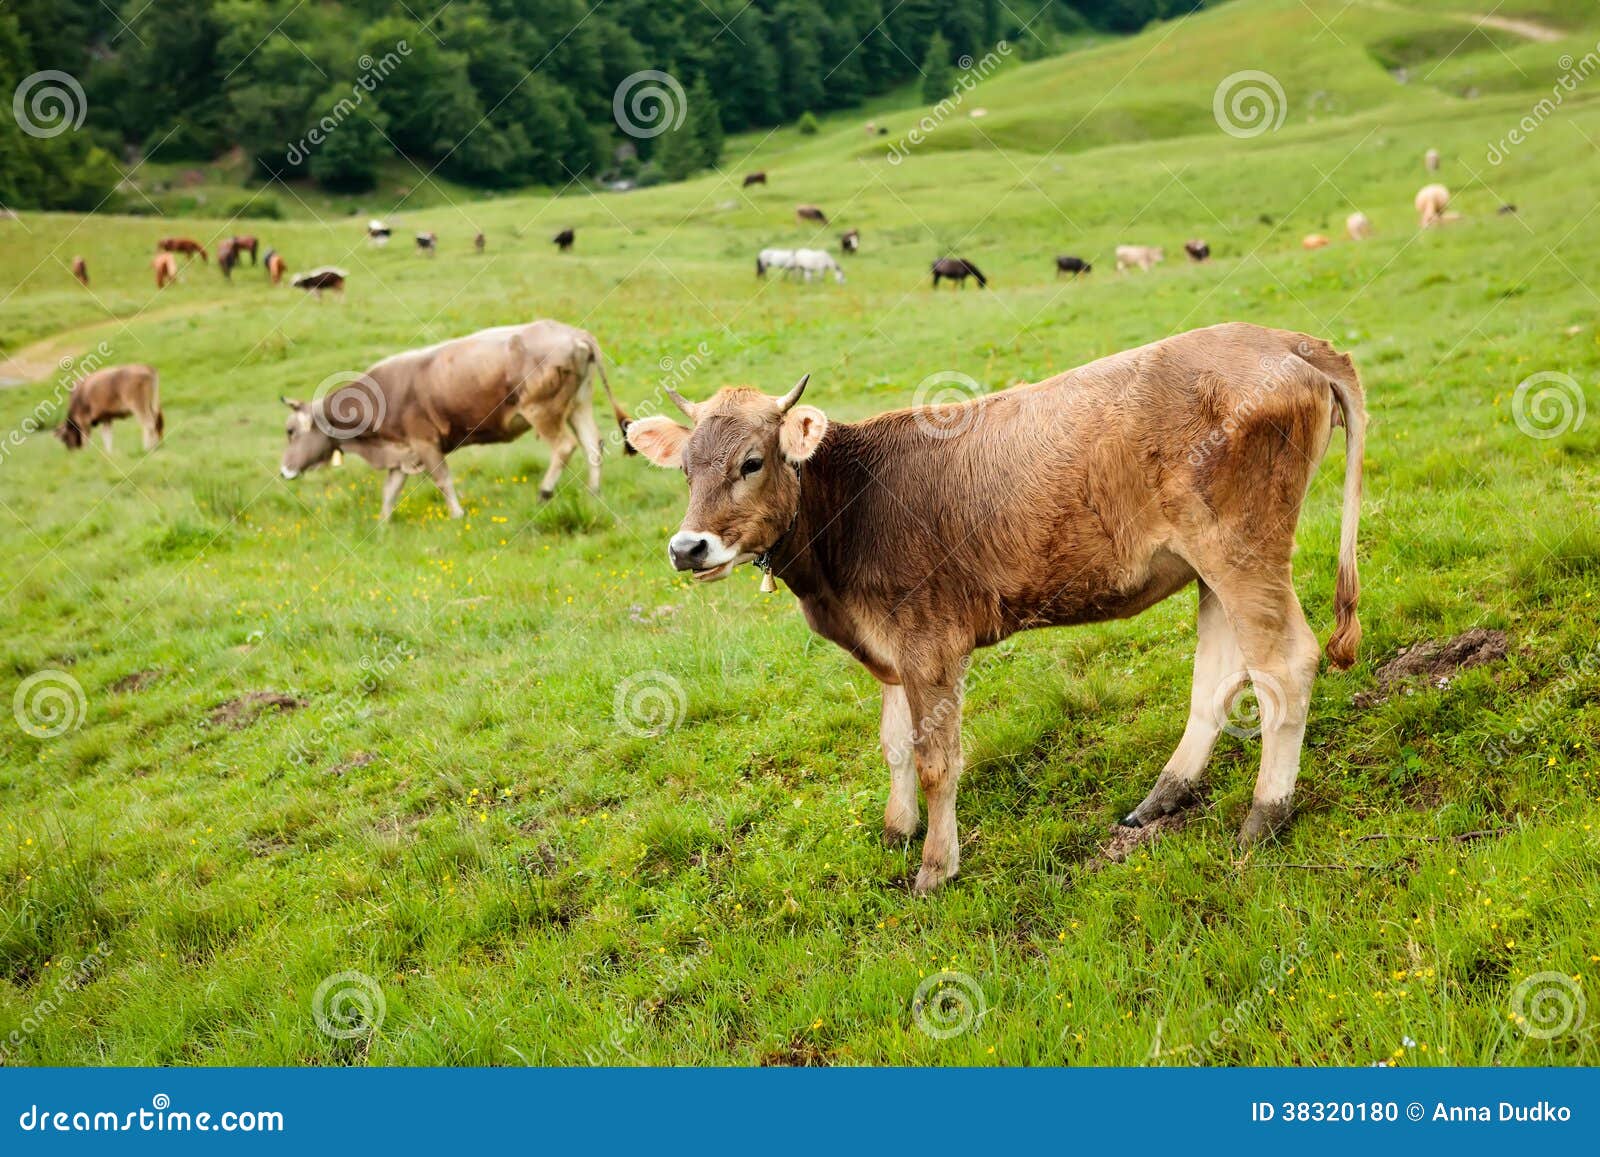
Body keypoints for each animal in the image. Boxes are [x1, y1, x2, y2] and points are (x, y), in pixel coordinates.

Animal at [280, 321, 633, 521]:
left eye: (290, 431)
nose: (284, 471)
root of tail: (573, 333)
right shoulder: (401, 451)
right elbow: (390, 490)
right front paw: (382, 523)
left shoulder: (425, 443)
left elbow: (442, 480)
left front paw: (456, 514)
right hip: (579, 404)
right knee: (592, 445)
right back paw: (593, 492)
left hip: (542, 410)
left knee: (564, 446)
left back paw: (545, 491)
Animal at [624, 322, 1366, 893]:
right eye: (686, 468)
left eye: (752, 461)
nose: (687, 547)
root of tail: (1284, 339)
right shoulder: (889, 650)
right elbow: (894, 744)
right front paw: (897, 830)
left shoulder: (929, 644)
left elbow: (936, 759)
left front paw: (935, 867)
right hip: (1209, 563)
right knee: (1218, 673)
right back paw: (1162, 796)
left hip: (1241, 546)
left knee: (1284, 663)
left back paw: (1264, 816)